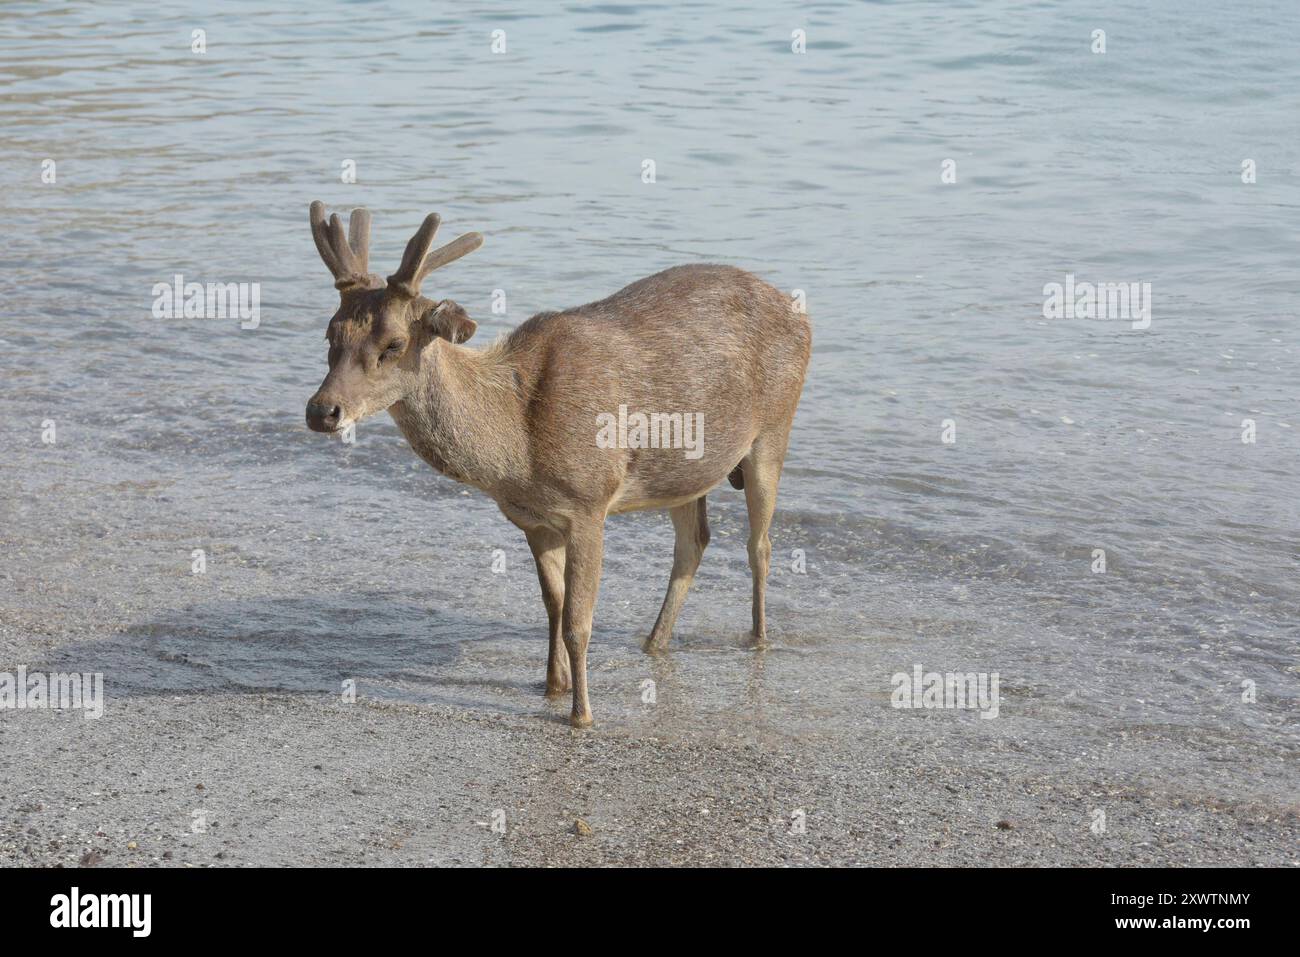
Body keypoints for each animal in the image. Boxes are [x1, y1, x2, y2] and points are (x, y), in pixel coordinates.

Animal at [304, 201, 811, 727]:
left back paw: (758, 639)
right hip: (685, 472)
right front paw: (551, 685)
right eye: (330, 333)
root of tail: (798, 311)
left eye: (394, 344)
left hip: (775, 427)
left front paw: (581, 713)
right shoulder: (533, 520)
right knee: (694, 542)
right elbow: (552, 604)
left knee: (760, 545)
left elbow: (578, 620)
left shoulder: (590, 501)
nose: (322, 411)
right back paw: (654, 642)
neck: (517, 448)